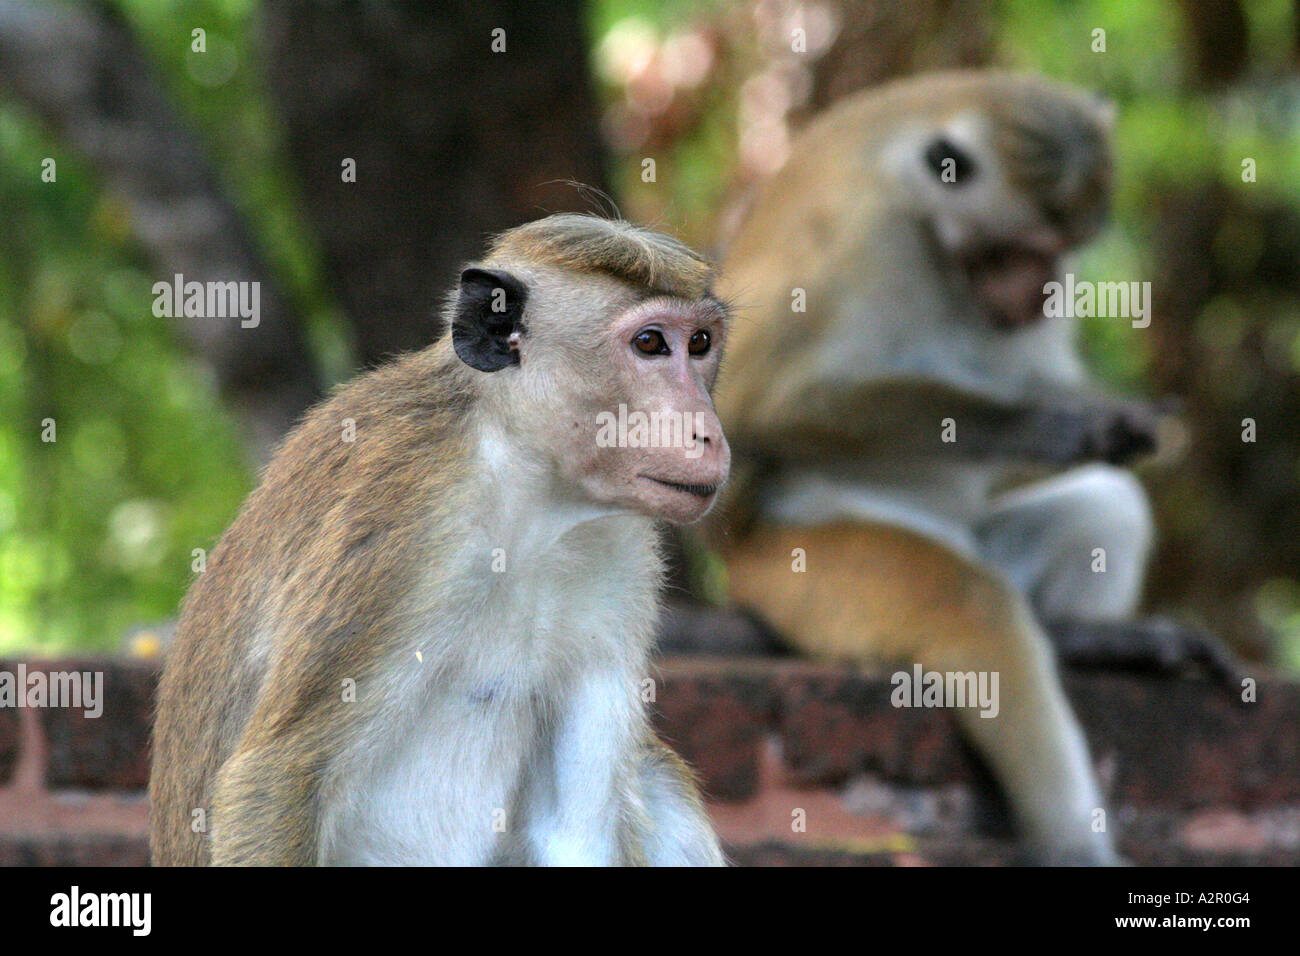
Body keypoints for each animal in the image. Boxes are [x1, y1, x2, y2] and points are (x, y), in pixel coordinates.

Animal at [150, 214, 730, 866]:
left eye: (700, 343)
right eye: (651, 343)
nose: (706, 432)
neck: (529, 487)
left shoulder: (621, 553)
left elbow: (575, 829)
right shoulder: (402, 519)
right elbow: (275, 775)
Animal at [706, 71, 1165, 864]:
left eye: (1061, 252)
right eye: (1016, 250)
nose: (1039, 292)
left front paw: (1109, 419)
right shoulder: (862, 234)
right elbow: (752, 404)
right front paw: (1048, 426)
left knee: (1107, 511)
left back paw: (1081, 635)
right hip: (804, 563)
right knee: (969, 605)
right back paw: (1072, 841)